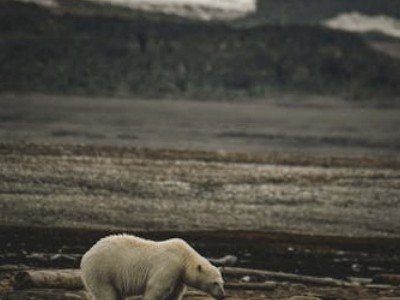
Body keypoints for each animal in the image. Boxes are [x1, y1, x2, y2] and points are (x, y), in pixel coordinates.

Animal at [81, 234, 225, 300]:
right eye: (215, 283)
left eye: (222, 282)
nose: (223, 295)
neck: (184, 257)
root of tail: (86, 255)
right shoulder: (169, 266)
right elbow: (156, 288)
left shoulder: (179, 277)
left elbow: (174, 294)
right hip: (102, 271)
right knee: (106, 293)